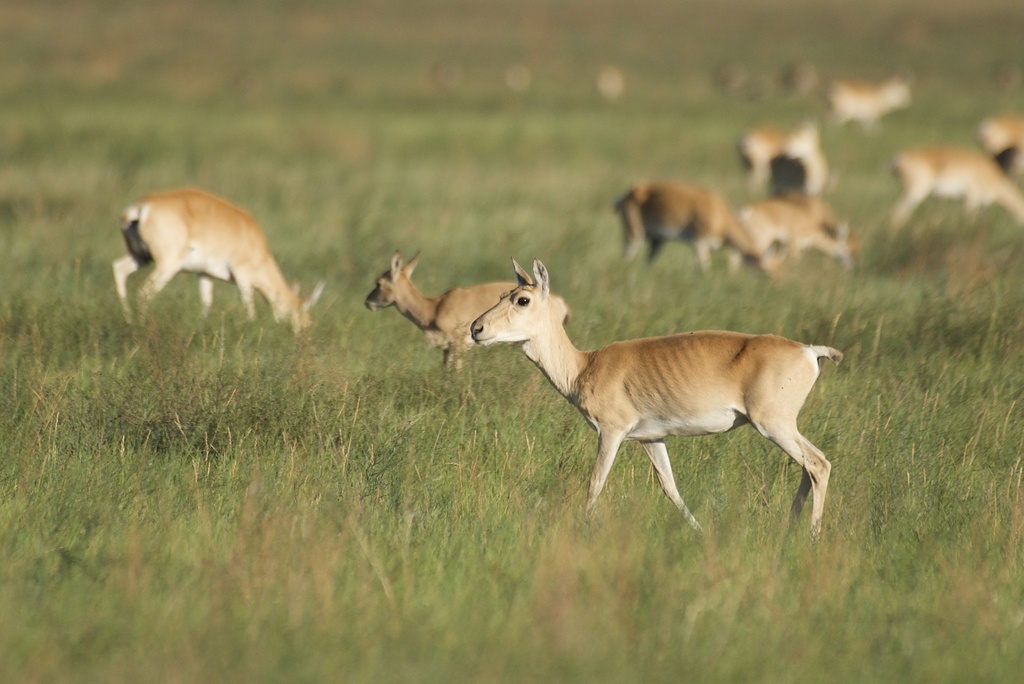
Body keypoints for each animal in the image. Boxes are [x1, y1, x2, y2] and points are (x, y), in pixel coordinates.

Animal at [112, 189, 324, 332]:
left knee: (119, 269)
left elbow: (207, 303)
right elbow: (249, 305)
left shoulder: (204, 274)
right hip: (167, 265)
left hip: (141, 257)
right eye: (302, 316)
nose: (303, 339)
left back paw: (128, 321)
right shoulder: (242, 273)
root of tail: (142, 207)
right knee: (144, 292)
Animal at [364, 251, 570, 370]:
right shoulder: (446, 350)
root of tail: (559, 302)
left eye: (379, 282)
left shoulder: (458, 347)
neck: (435, 306)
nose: (368, 302)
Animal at [471, 259, 841, 538]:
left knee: (818, 464)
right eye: (503, 293)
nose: (476, 329)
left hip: (774, 425)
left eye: (522, 299)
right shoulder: (652, 439)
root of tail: (810, 351)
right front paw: (700, 532)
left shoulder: (611, 433)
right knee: (808, 468)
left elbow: (595, 482)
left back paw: (811, 537)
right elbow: (670, 487)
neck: (584, 366)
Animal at [613, 181, 764, 272]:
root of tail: (626, 196)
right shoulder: (699, 242)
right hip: (635, 235)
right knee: (625, 257)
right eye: (762, 266)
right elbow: (704, 268)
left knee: (647, 261)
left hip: (657, 241)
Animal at [889, 147, 1024, 227]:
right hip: (916, 192)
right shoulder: (972, 197)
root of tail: (899, 158)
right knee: (897, 211)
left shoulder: (983, 203)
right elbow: (969, 217)